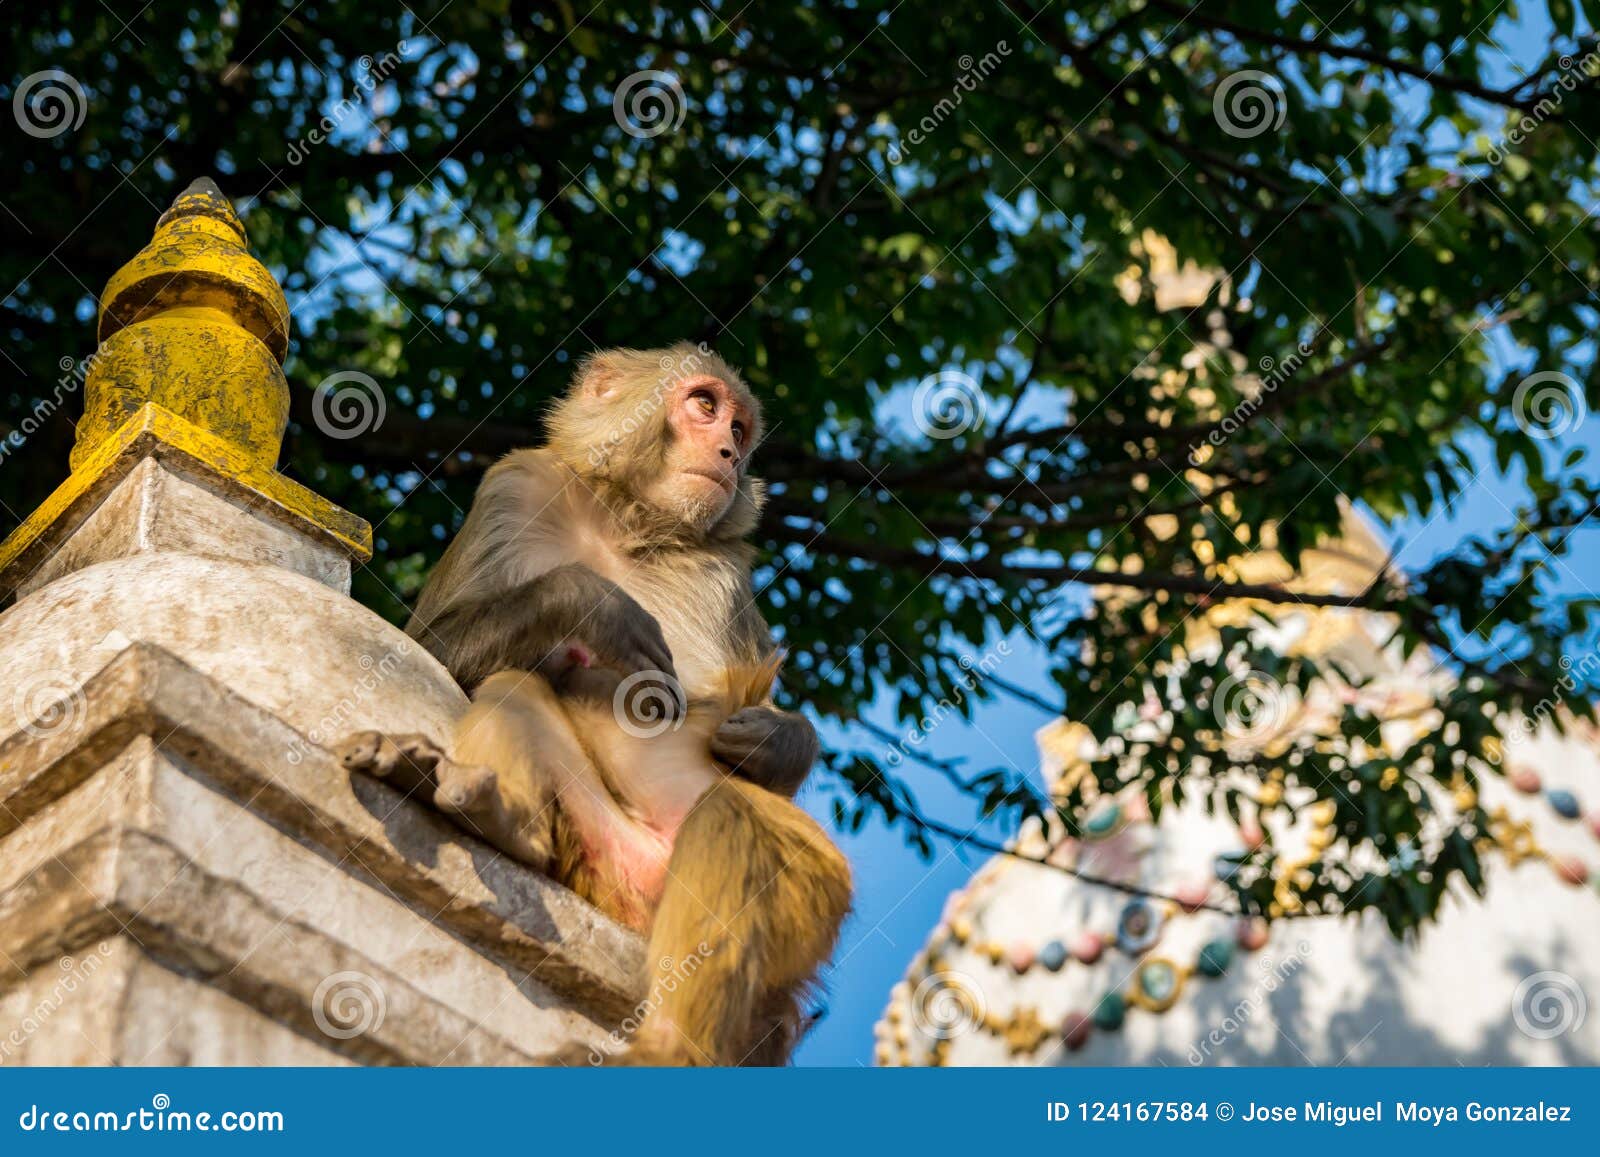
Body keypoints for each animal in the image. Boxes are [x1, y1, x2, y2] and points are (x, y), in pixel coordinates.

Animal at [336, 344, 851, 1065]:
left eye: (740, 428)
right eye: (704, 404)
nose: (728, 452)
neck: (625, 521)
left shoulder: (726, 576)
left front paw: (780, 741)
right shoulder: (513, 486)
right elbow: (426, 645)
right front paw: (588, 600)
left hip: (799, 891)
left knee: (738, 819)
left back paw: (667, 1044)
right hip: (606, 863)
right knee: (515, 685)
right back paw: (500, 818)